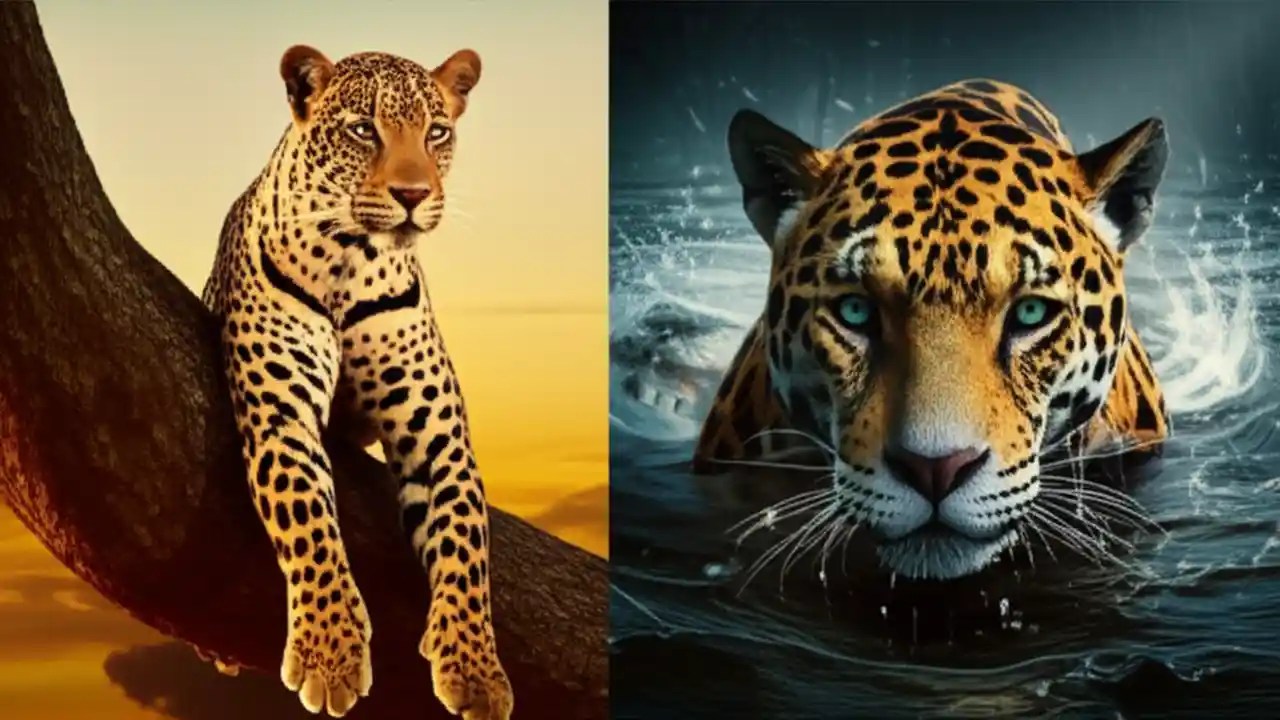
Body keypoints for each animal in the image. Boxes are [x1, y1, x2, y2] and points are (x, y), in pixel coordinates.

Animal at [200, 45, 511, 719]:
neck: (352, 260)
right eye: (364, 130)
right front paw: (330, 653)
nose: (413, 193)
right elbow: (310, 525)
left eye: (436, 132)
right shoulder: (281, 419)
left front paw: (475, 669)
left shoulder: (440, 443)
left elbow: (466, 544)